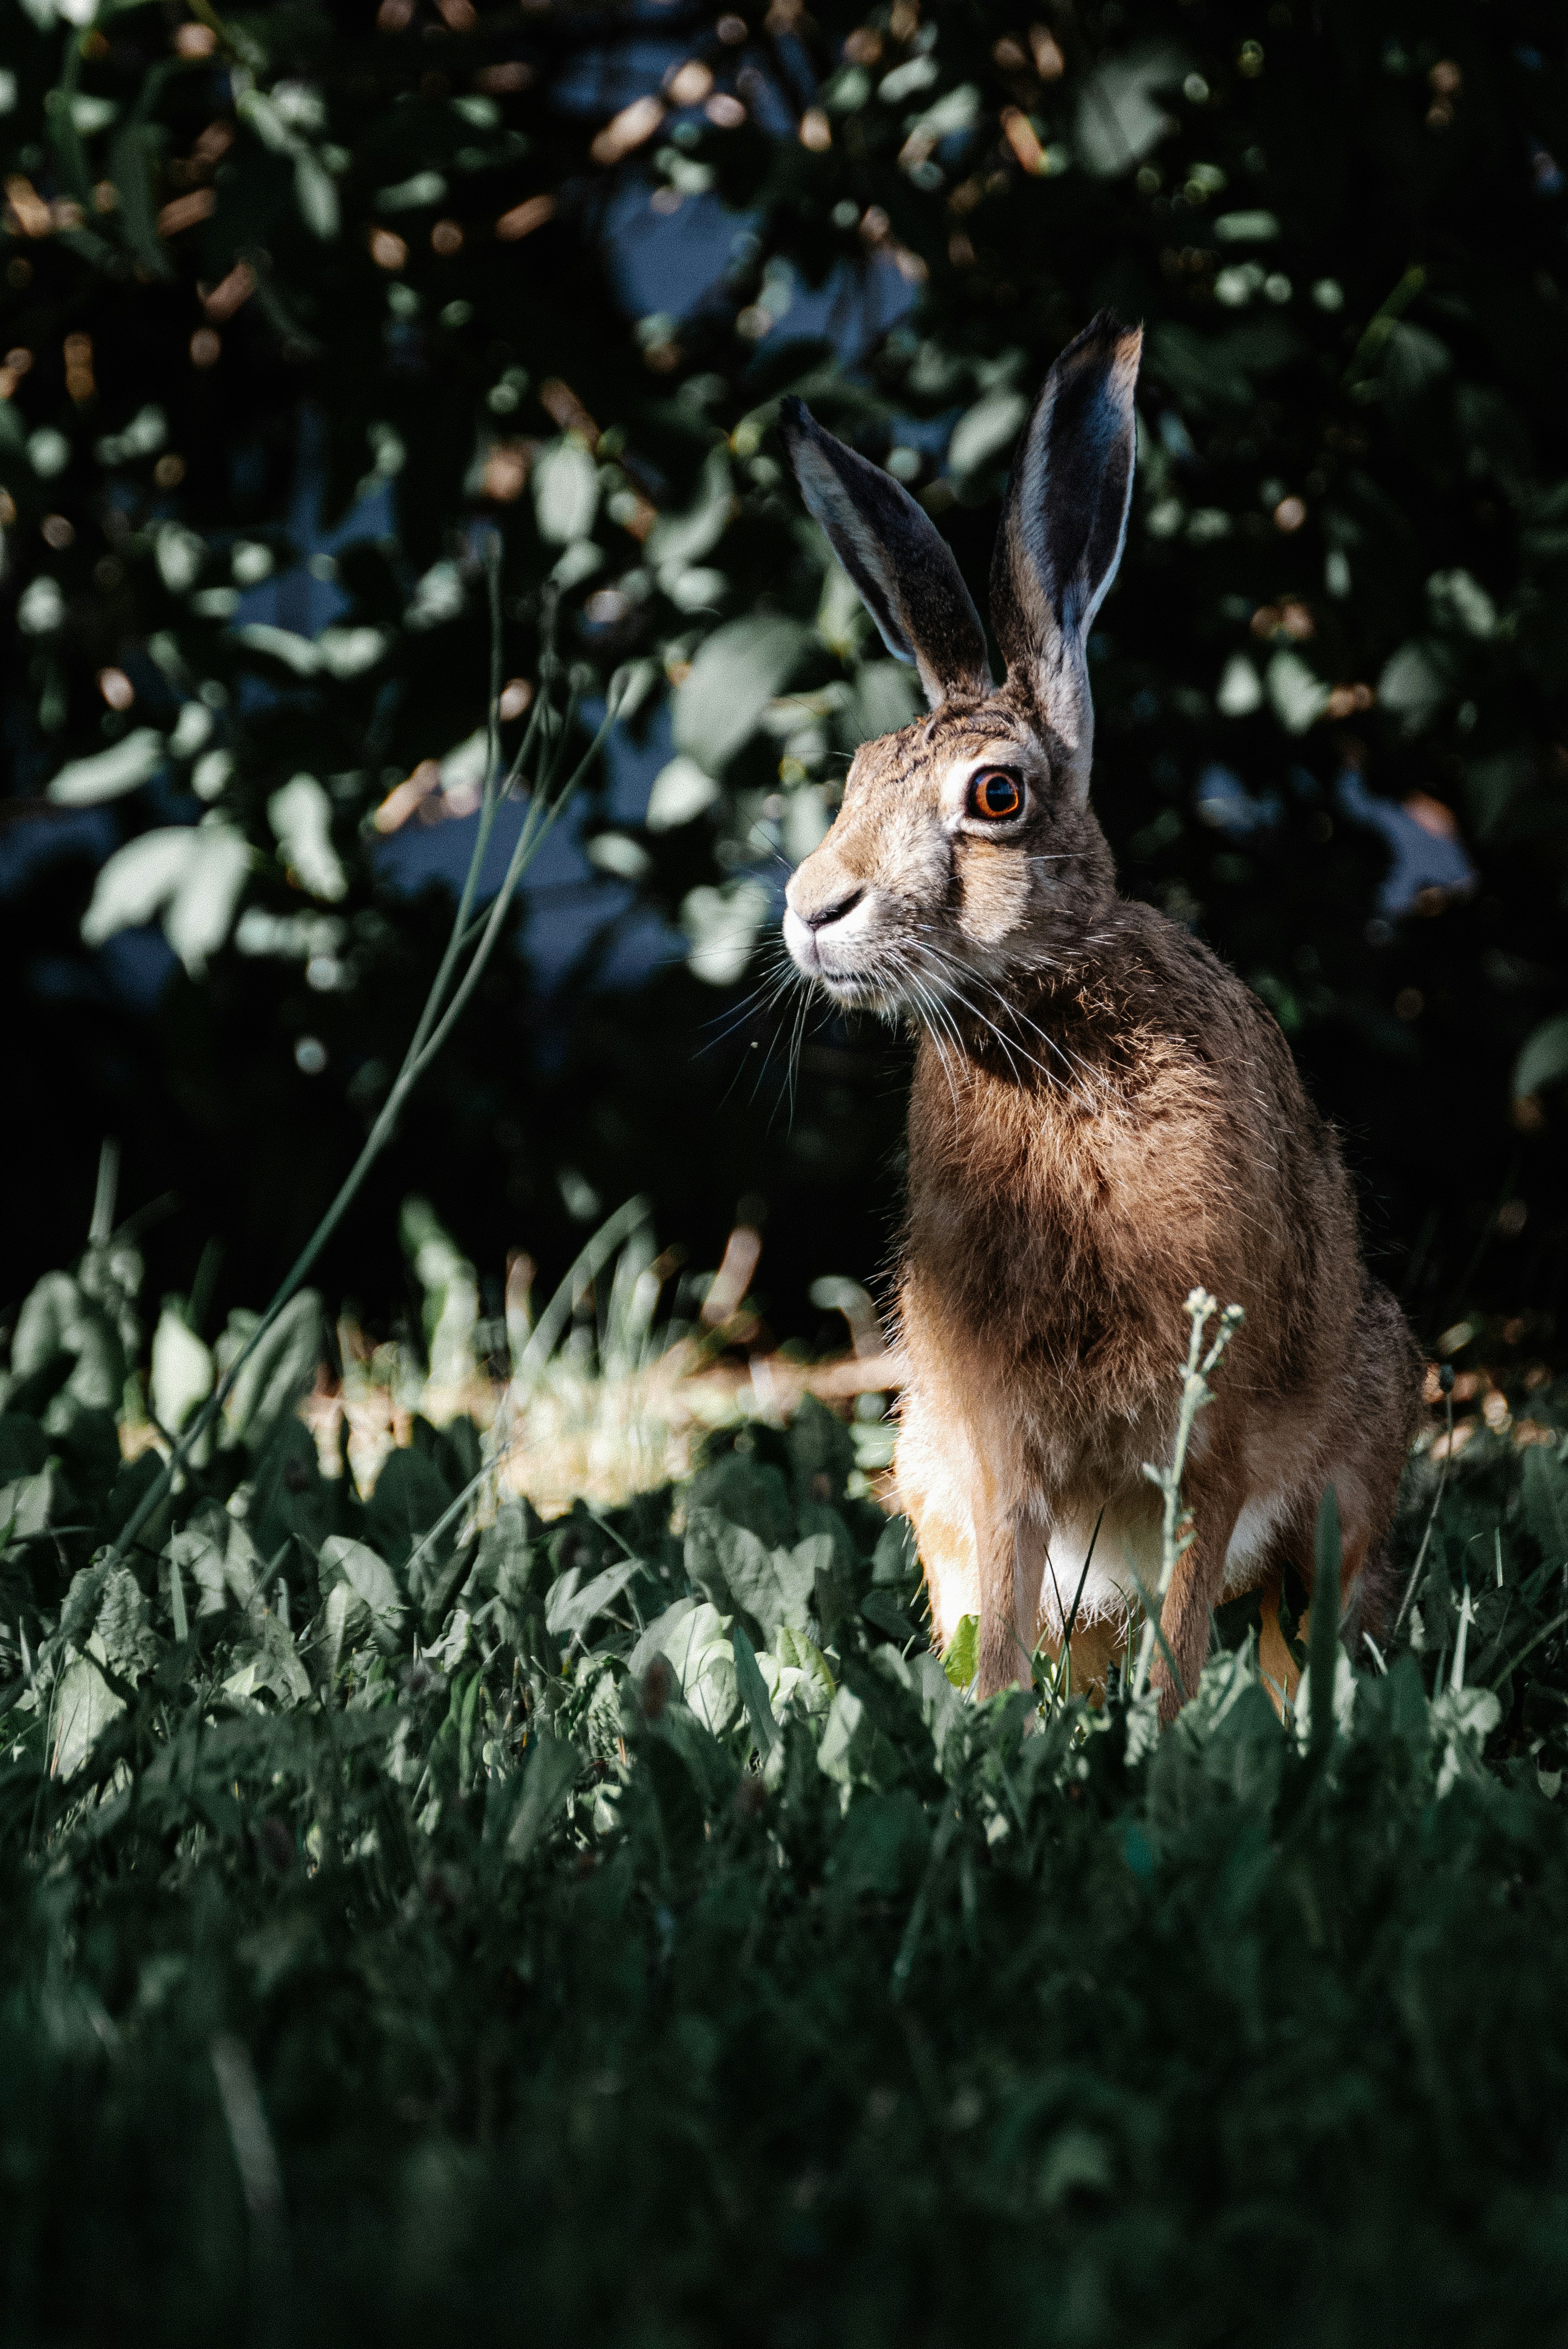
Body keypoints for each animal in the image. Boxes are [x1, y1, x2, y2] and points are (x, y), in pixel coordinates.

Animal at [777, 312, 1422, 1719]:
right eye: (854, 776)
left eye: (996, 797)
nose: (809, 908)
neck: (1044, 1017)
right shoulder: (997, 1463)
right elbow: (1006, 1630)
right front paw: (994, 1738)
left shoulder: (1209, 1445)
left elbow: (1181, 1636)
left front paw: (1166, 1745)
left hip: (1346, 1474)